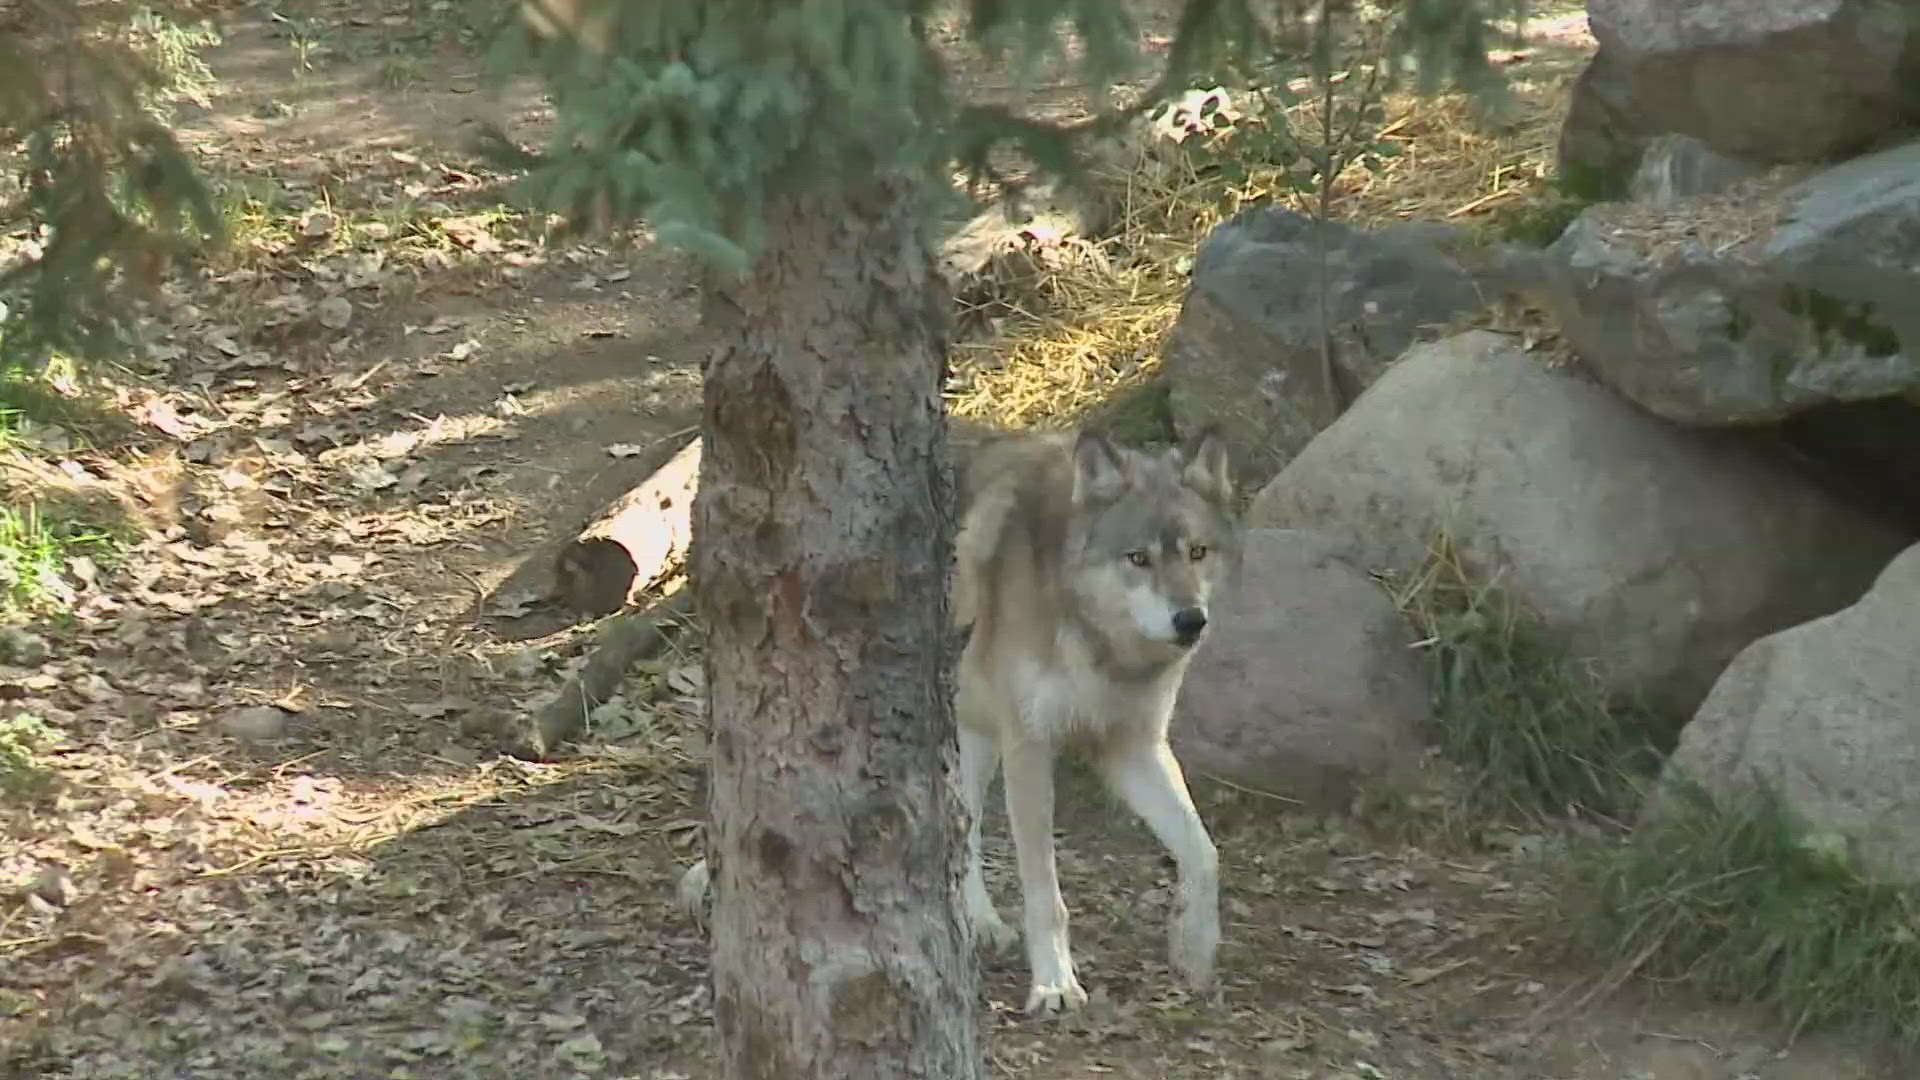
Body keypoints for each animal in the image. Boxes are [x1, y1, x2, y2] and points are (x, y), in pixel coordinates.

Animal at [951, 426, 1239, 1014]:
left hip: (977, 737)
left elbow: (1203, 853)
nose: (1191, 620)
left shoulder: (1131, 746)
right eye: (1138, 558)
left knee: (965, 831)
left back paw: (983, 924)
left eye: (1197, 552)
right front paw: (1054, 984)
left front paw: (1194, 948)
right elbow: (1045, 893)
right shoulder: (1030, 748)